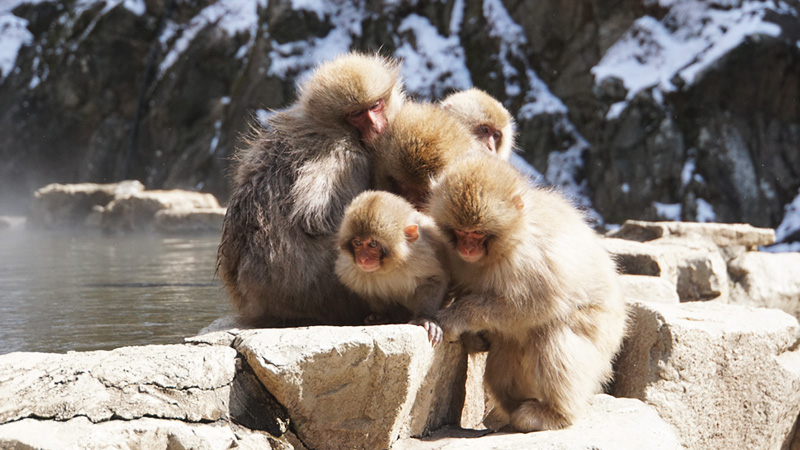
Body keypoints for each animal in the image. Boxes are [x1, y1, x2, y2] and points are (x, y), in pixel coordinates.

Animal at [334, 190, 449, 344]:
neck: (390, 266)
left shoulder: (422, 254)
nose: (362, 259)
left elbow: (434, 279)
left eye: (373, 244)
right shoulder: (349, 267)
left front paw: (424, 317)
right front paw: (384, 316)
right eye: (358, 243)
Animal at [428, 156, 627, 432]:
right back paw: (512, 406)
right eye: (461, 232)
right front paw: (472, 337)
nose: (467, 248)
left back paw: (555, 414)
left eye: (477, 232)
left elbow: (534, 304)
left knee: (554, 336)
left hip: (601, 325)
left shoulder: (529, 259)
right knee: (507, 351)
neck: (510, 240)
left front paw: (456, 318)